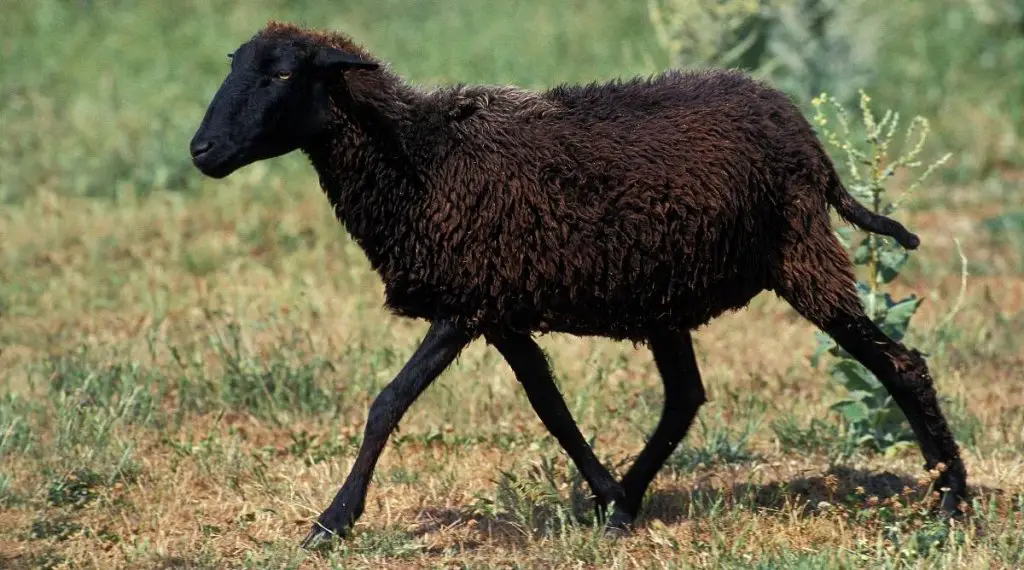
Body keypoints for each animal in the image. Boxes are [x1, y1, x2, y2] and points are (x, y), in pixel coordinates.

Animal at [189, 21, 968, 549]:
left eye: (282, 76)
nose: (201, 150)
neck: (420, 155)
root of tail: (809, 140)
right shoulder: (498, 308)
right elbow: (552, 408)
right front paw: (604, 498)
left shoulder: (464, 301)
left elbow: (388, 403)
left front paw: (332, 522)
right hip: (668, 295)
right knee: (685, 397)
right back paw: (629, 498)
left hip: (801, 258)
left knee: (902, 365)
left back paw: (952, 500)